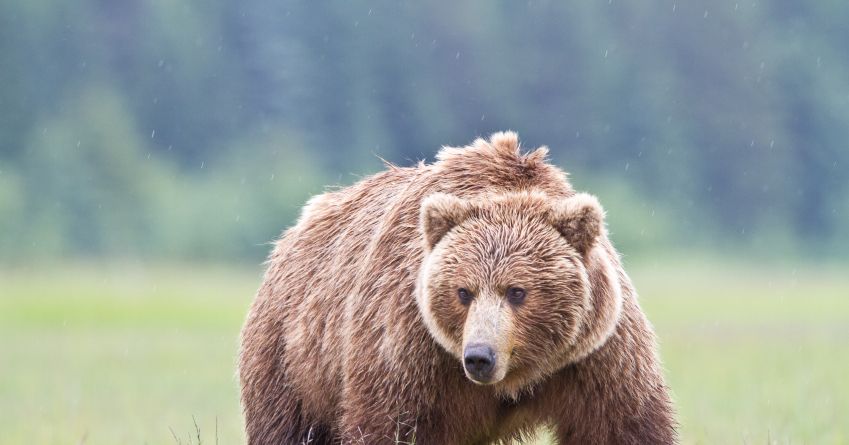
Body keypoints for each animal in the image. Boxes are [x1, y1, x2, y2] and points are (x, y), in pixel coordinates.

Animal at [239, 132, 677, 444]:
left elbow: (622, 425)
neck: (516, 377)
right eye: (463, 292)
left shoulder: (595, 355)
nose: (479, 356)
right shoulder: (410, 349)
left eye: (517, 291)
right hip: (292, 360)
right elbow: (391, 424)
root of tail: (294, 232)